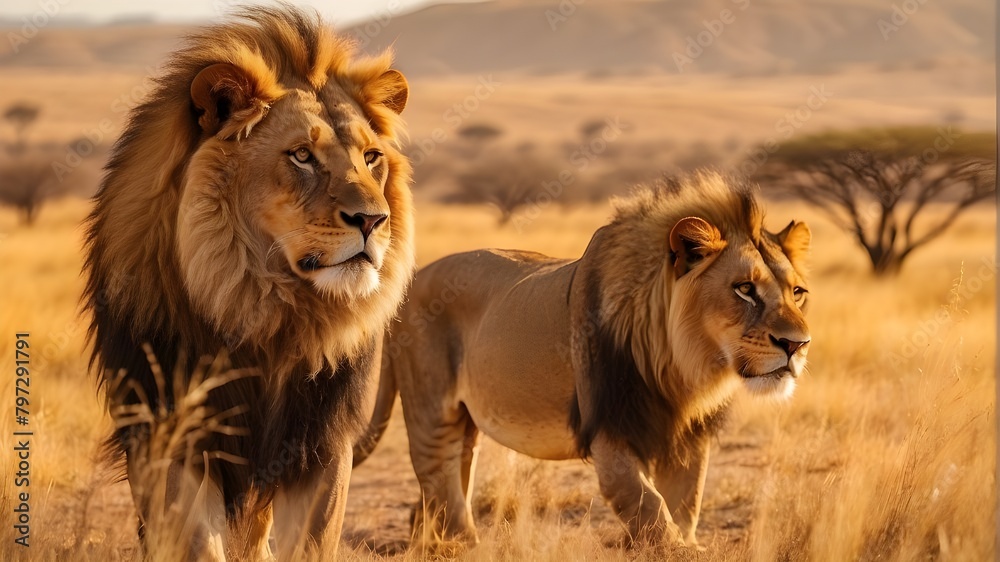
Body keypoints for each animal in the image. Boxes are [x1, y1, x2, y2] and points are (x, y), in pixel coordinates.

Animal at [82, 7, 414, 560]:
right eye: (301, 156)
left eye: (371, 158)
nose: (373, 219)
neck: (266, 309)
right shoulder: (171, 437)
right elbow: (201, 543)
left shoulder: (321, 442)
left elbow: (311, 541)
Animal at [353, 171, 811, 549]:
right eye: (745, 289)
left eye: (797, 292)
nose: (797, 344)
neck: (686, 369)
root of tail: (412, 284)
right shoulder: (608, 427)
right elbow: (647, 504)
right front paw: (677, 549)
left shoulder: (688, 436)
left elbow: (687, 500)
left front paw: (687, 542)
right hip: (433, 409)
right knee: (440, 477)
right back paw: (466, 545)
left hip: (466, 422)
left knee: (446, 481)